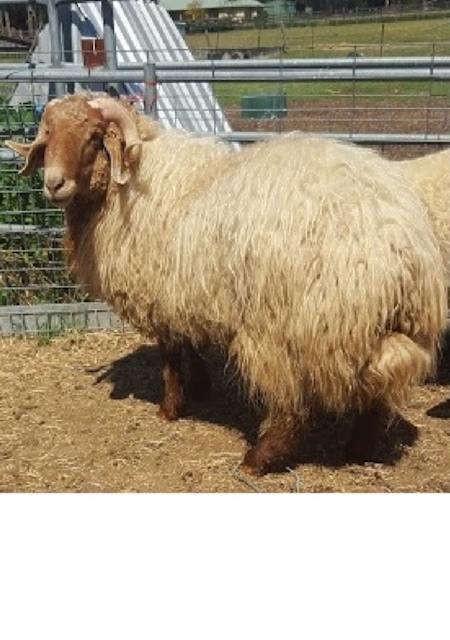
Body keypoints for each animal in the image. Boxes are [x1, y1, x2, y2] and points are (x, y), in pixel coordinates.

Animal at [6, 93, 447, 475]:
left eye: (94, 137)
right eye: (47, 135)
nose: (54, 184)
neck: (130, 183)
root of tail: (395, 246)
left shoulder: (159, 290)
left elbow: (170, 356)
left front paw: (170, 408)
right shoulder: (186, 291)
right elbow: (192, 343)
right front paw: (201, 386)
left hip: (285, 330)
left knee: (292, 407)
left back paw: (257, 460)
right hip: (384, 333)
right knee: (375, 397)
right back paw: (357, 451)